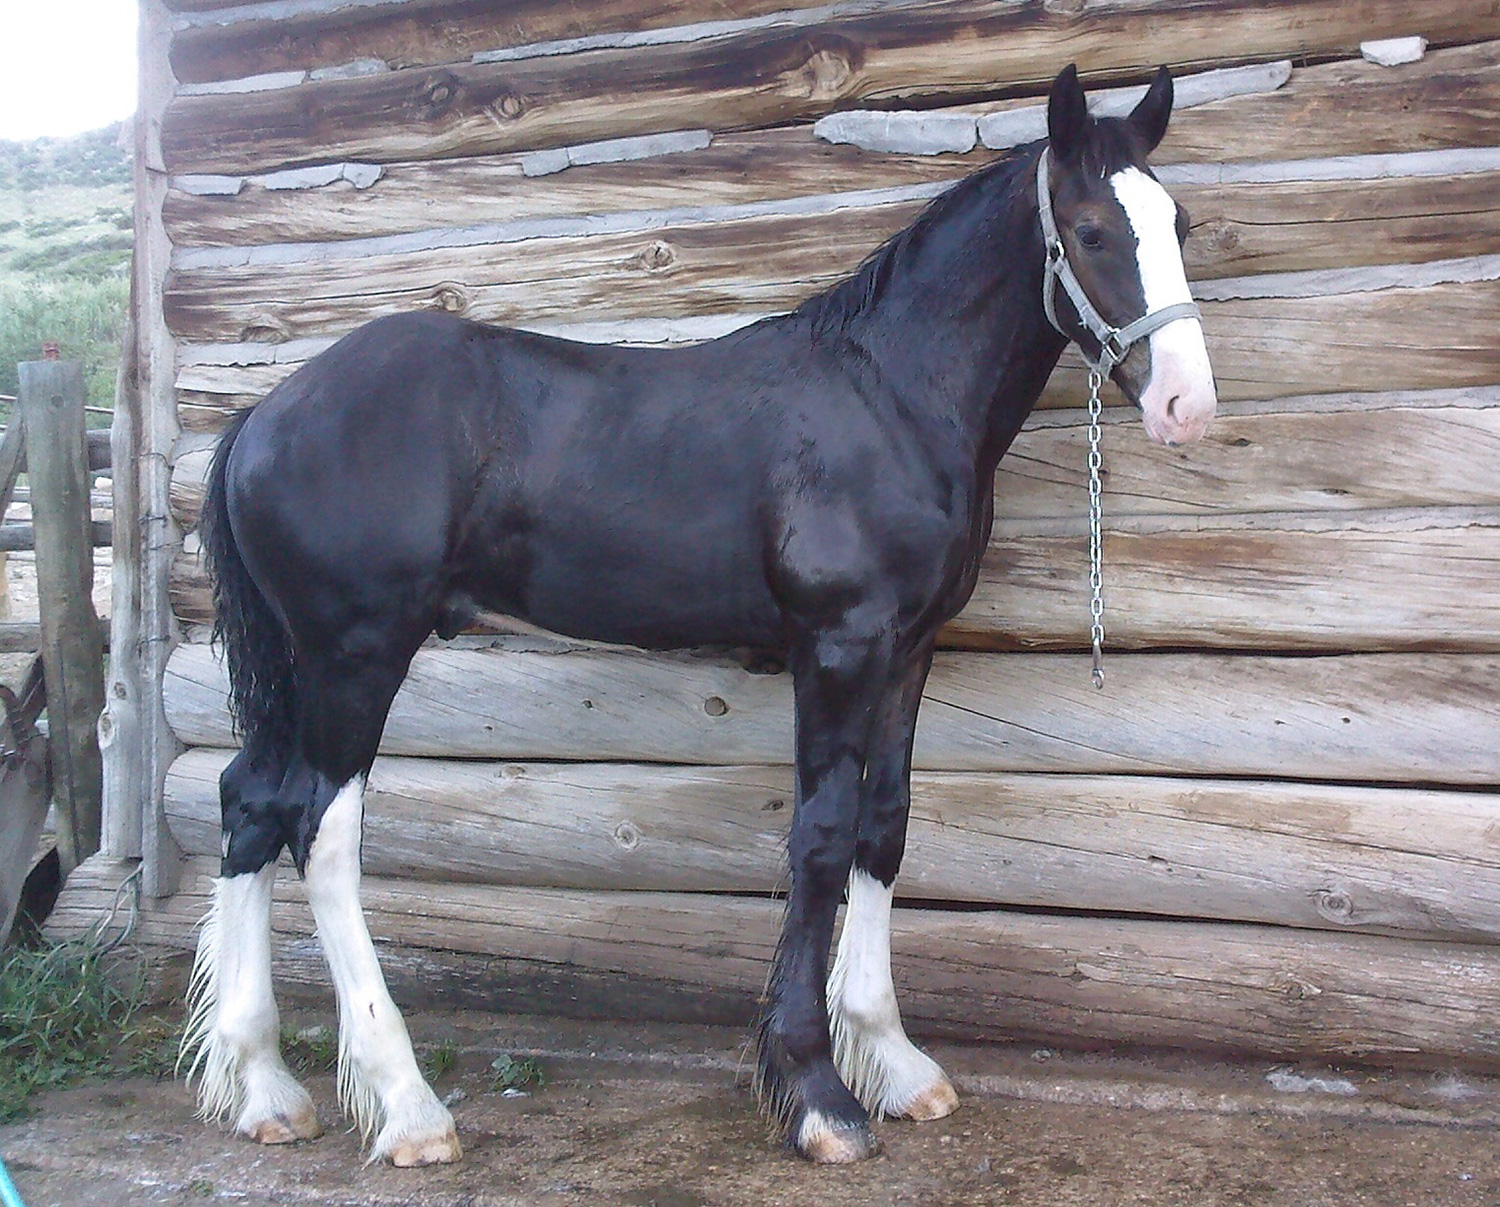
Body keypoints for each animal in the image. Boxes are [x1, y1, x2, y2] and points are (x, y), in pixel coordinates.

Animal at [182, 62, 1216, 1167]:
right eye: (1092, 228)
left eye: (1177, 221)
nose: (1187, 404)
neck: (890, 395)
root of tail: (265, 416)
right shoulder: (838, 646)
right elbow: (820, 839)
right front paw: (819, 1094)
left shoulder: (908, 649)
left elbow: (883, 829)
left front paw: (896, 1063)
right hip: (356, 653)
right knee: (321, 831)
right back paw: (409, 1106)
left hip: (302, 662)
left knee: (249, 800)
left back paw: (263, 1086)